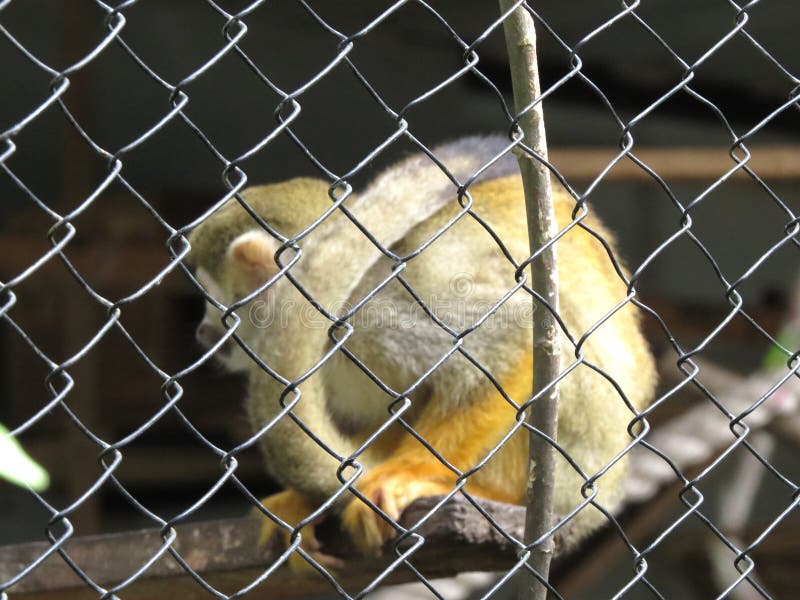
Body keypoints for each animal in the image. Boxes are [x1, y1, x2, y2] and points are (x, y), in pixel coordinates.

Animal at [186, 135, 657, 568]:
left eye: (215, 301)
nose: (203, 332)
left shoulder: (373, 315)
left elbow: (515, 334)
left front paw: (404, 474)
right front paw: (308, 497)